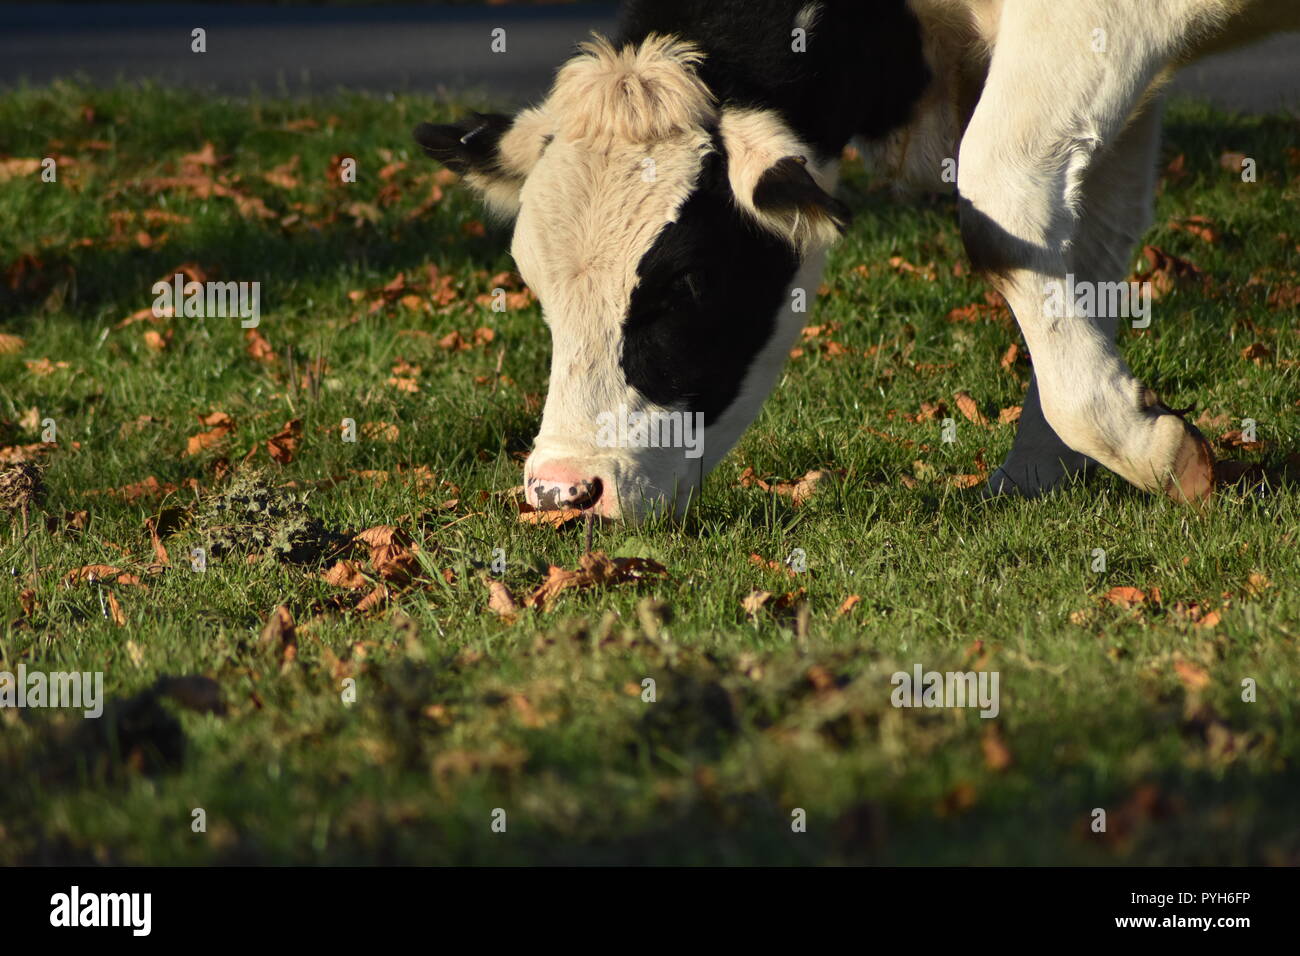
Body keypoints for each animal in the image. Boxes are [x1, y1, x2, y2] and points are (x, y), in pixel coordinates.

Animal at [413, 0, 1300, 522]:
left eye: (688, 278)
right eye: (535, 287)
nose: (561, 490)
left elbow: (998, 207)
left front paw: (1153, 450)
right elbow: (1087, 246)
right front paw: (1047, 466)